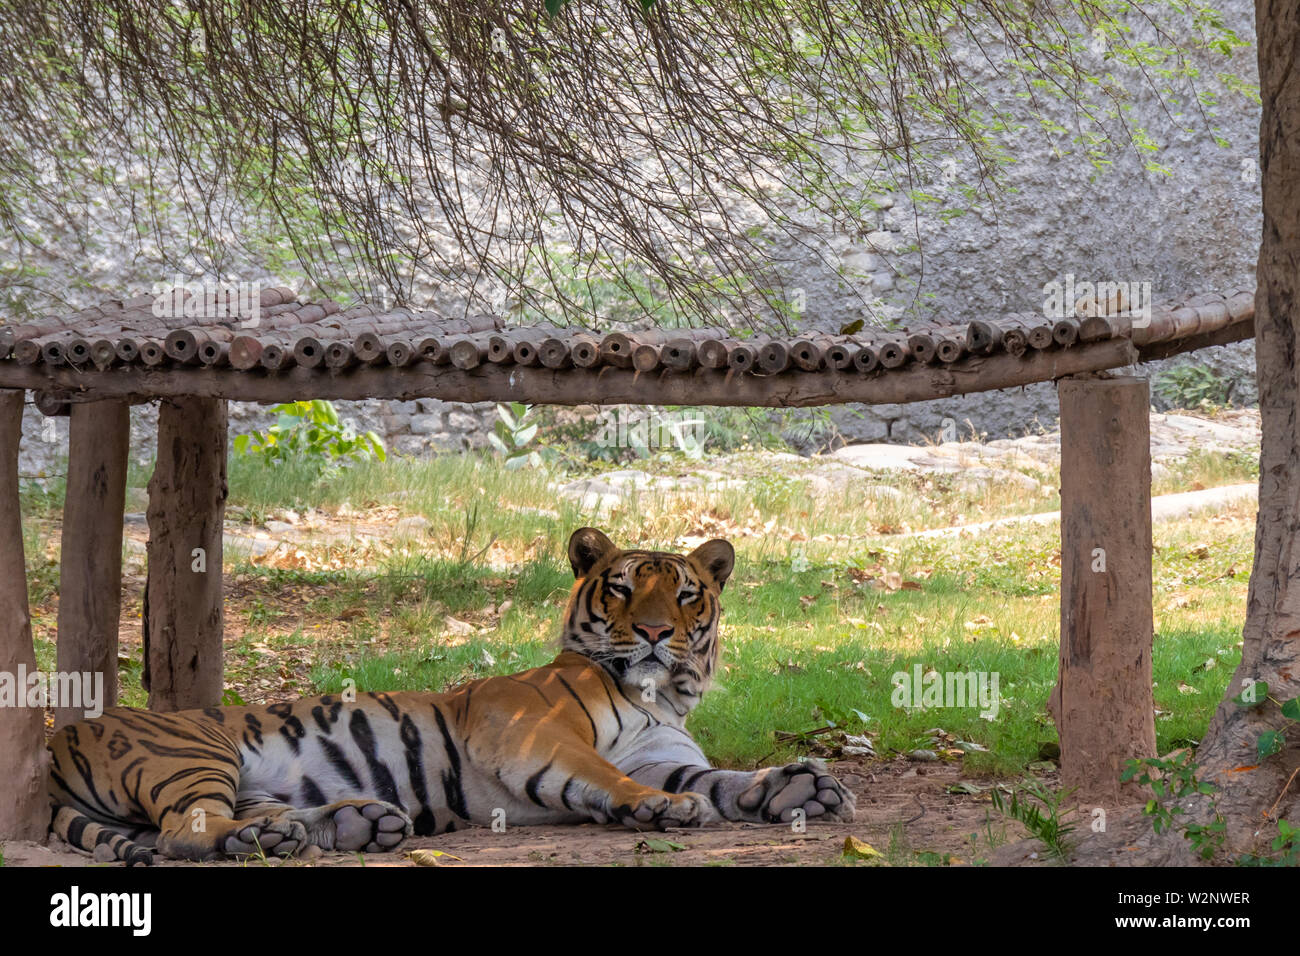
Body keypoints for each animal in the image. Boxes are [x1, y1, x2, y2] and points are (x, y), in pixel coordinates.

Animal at [47, 528, 855, 864]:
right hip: (195, 751)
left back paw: (346, 826)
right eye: (624, 588)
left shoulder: (662, 752)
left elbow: (720, 778)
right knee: (180, 831)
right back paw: (273, 842)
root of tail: (57, 739)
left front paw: (800, 787)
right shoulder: (527, 731)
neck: (661, 697)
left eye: (687, 595)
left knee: (239, 817)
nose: (657, 632)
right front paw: (662, 809)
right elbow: (607, 774)